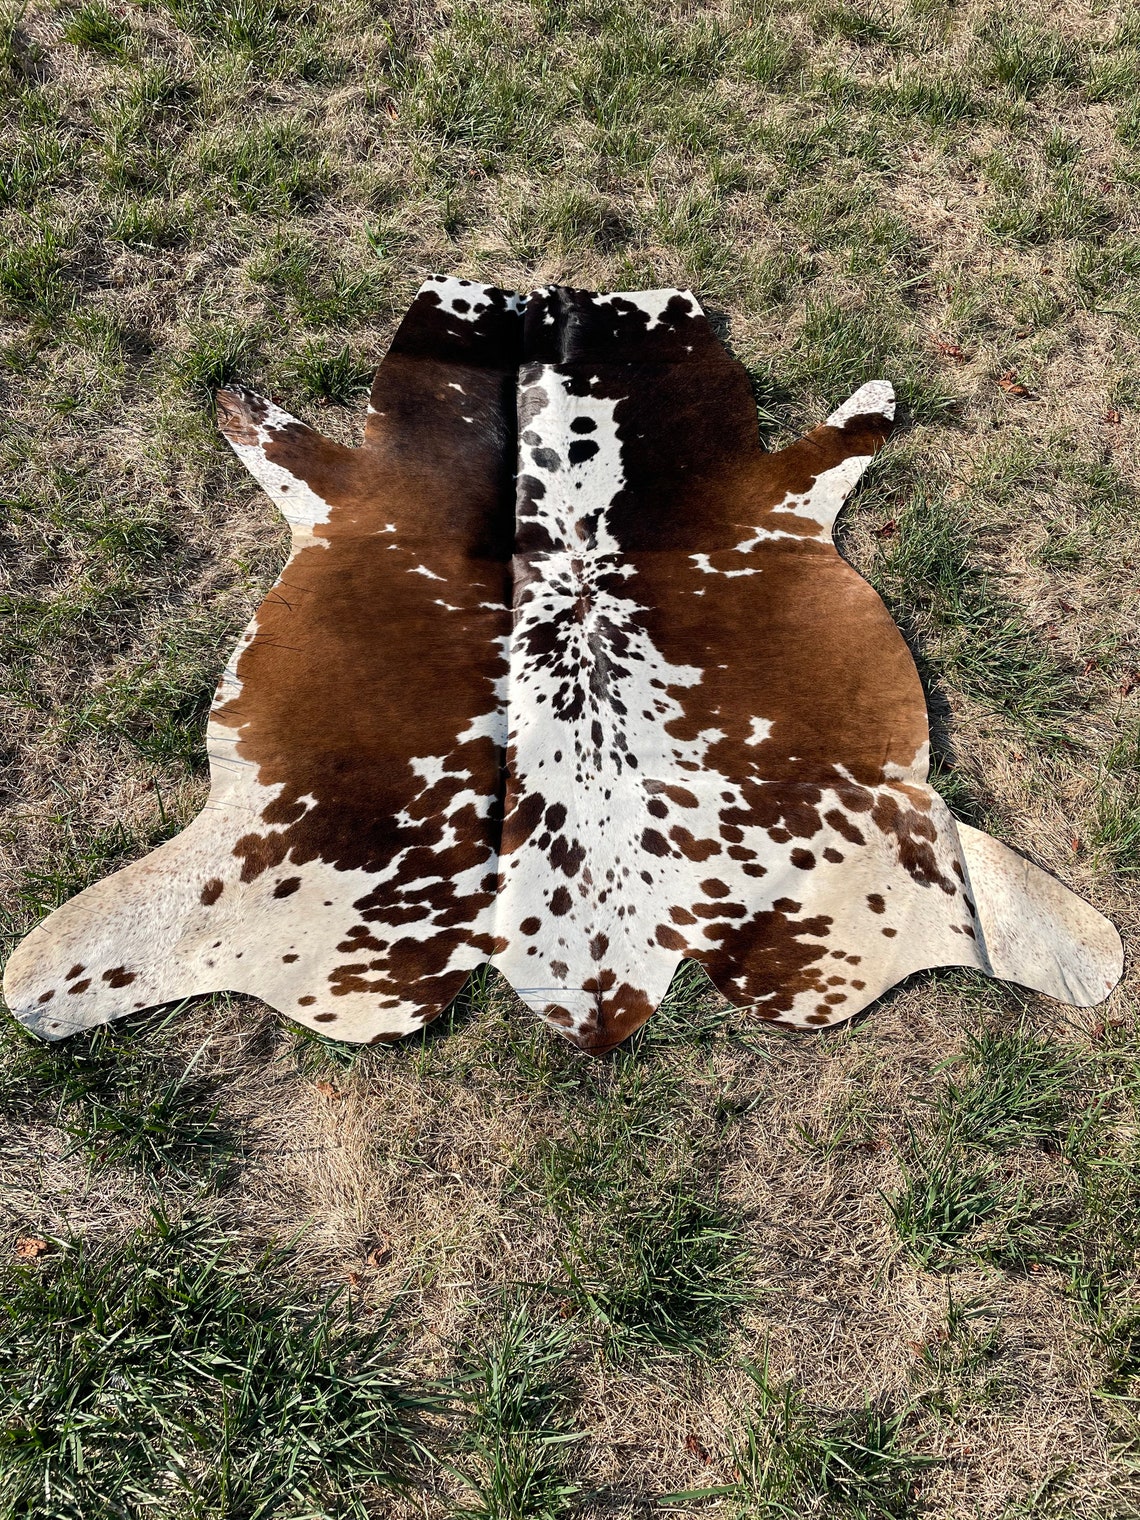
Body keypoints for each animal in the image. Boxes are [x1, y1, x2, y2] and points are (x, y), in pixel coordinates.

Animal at [3, 278, 1123, 1053]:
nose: (558, 296)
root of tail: (607, 978)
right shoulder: (361, 487)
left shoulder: (766, 485)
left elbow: (838, 438)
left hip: (887, 833)